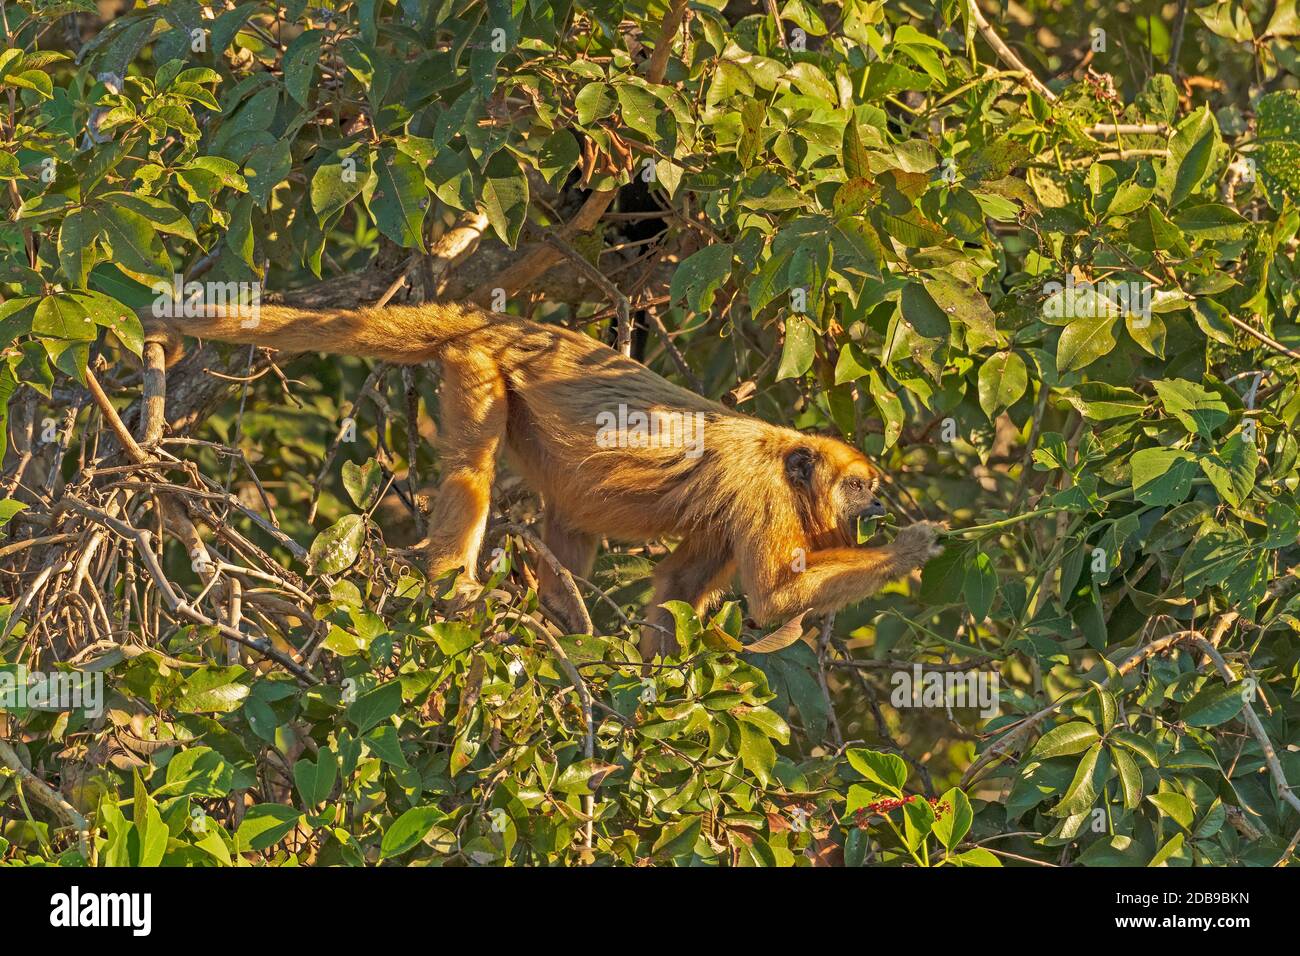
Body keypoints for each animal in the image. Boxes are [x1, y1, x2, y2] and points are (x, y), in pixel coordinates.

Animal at [151, 301, 944, 657]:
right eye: (859, 485)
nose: (876, 498)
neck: (786, 458)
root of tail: (506, 327)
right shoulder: (760, 493)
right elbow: (777, 596)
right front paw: (913, 547)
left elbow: (679, 588)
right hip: (479, 365)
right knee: (471, 473)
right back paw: (456, 585)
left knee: (570, 526)